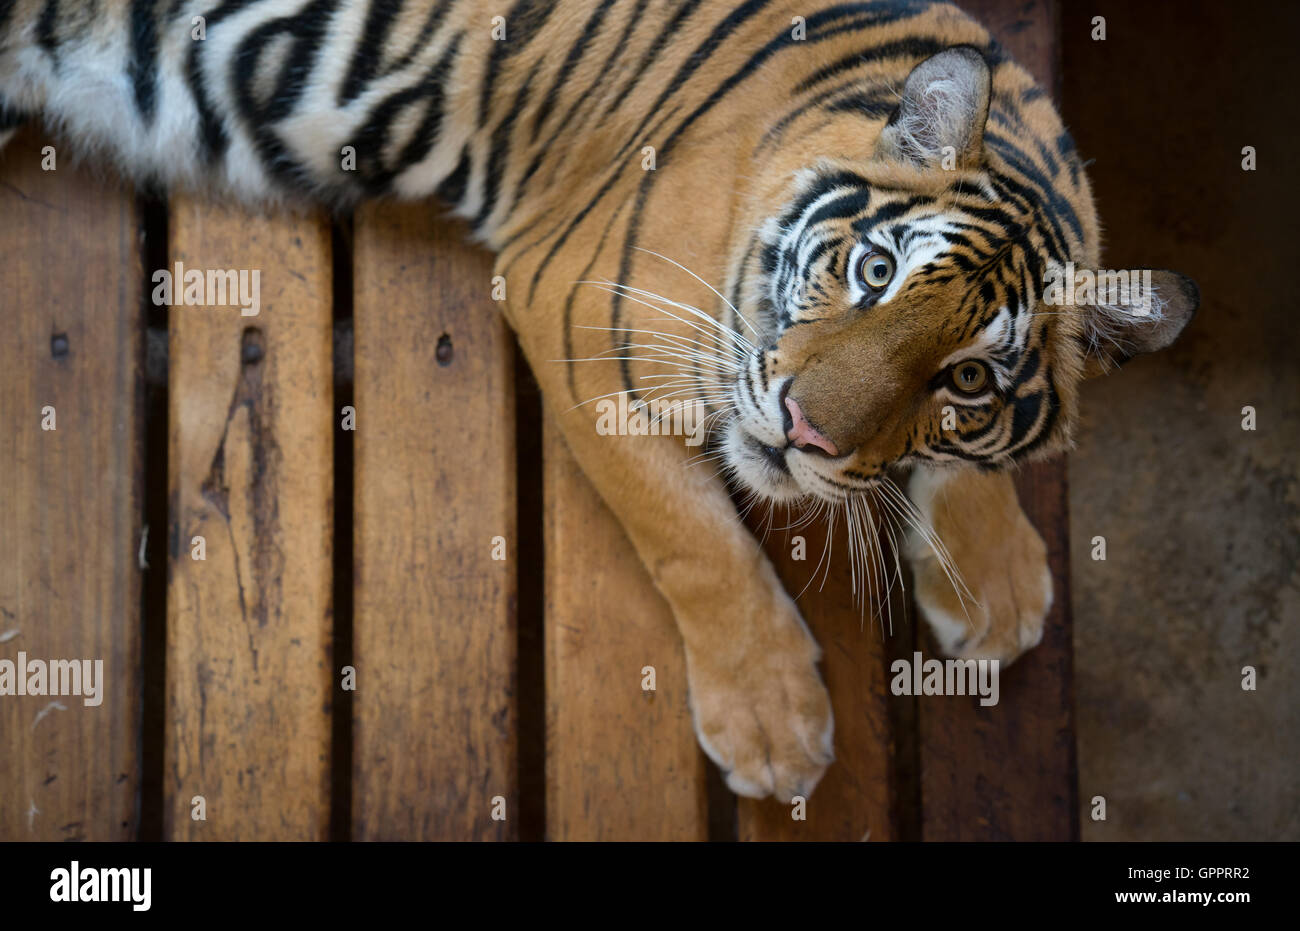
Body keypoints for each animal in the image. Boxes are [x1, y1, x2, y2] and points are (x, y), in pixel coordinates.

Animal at [0, 0, 1198, 803]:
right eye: (874, 272)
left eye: (968, 378)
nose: (804, 428)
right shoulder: (578, 312)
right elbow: (692, 536)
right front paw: (774, 724)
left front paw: (997, 583)